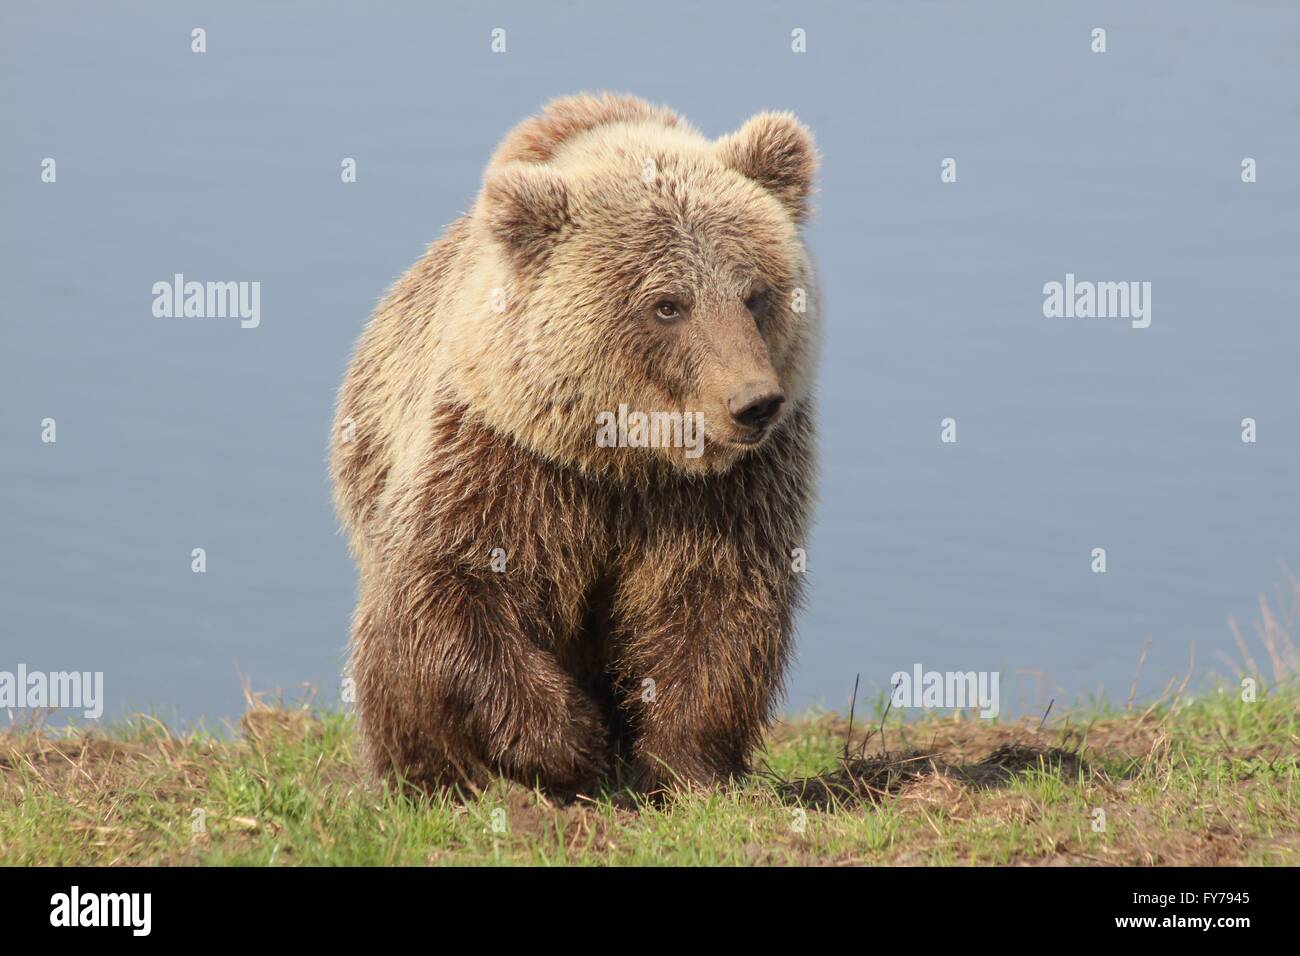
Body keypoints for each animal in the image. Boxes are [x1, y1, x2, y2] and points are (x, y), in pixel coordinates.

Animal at [331, 93, 821, 795]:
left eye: (754, 294)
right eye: (666, 304)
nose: (752, 402)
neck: (625, 458)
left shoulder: (729, 492)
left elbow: (718, 605)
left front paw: (684, 765)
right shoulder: (504, 457)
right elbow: (454, 583)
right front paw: (569, 741)